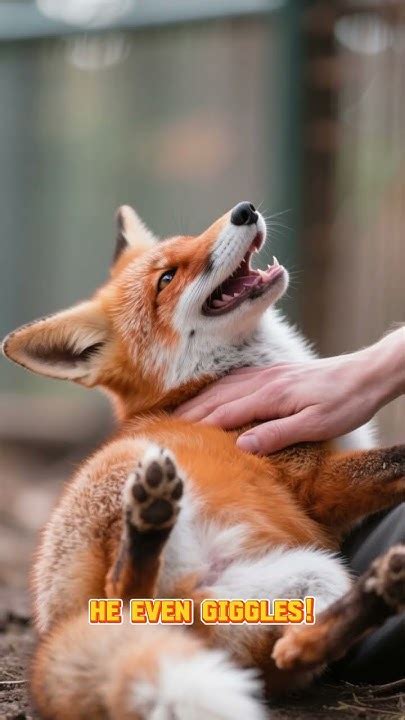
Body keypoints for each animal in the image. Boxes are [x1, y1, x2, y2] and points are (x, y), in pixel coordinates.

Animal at [3, 201, 405, 720]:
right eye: (167, 278)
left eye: (189, 240)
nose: (244, 211)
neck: (202, 385)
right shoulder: (317, 482)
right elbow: (394, 459)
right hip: (127, 466)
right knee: (124, 595)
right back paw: (149, 521)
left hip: (310, 575)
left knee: (293, 648)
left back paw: (381, 592)